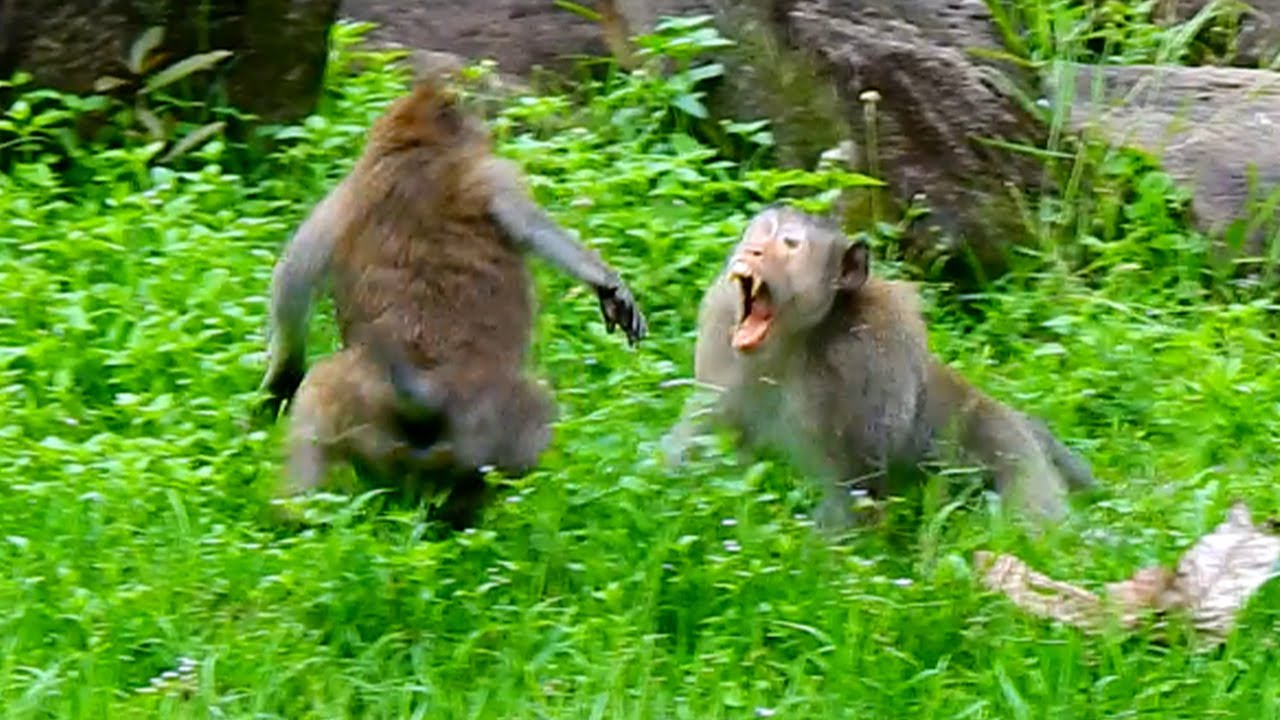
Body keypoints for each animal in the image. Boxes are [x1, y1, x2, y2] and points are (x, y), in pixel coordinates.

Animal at [257, 77, 648, 527]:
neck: (416, 151)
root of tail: (427, 396)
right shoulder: (494, 177)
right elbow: (536, 229)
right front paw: (609, 285)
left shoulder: (345, 196)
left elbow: (293, 280)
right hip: (484, 426)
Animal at [663, 205, 1096, 532]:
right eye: (762, 232)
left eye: (790, 244)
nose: (752, 250)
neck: (796, 340)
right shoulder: (721, 328)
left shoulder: (865, 359)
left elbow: (857, 485)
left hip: (1015, 453)